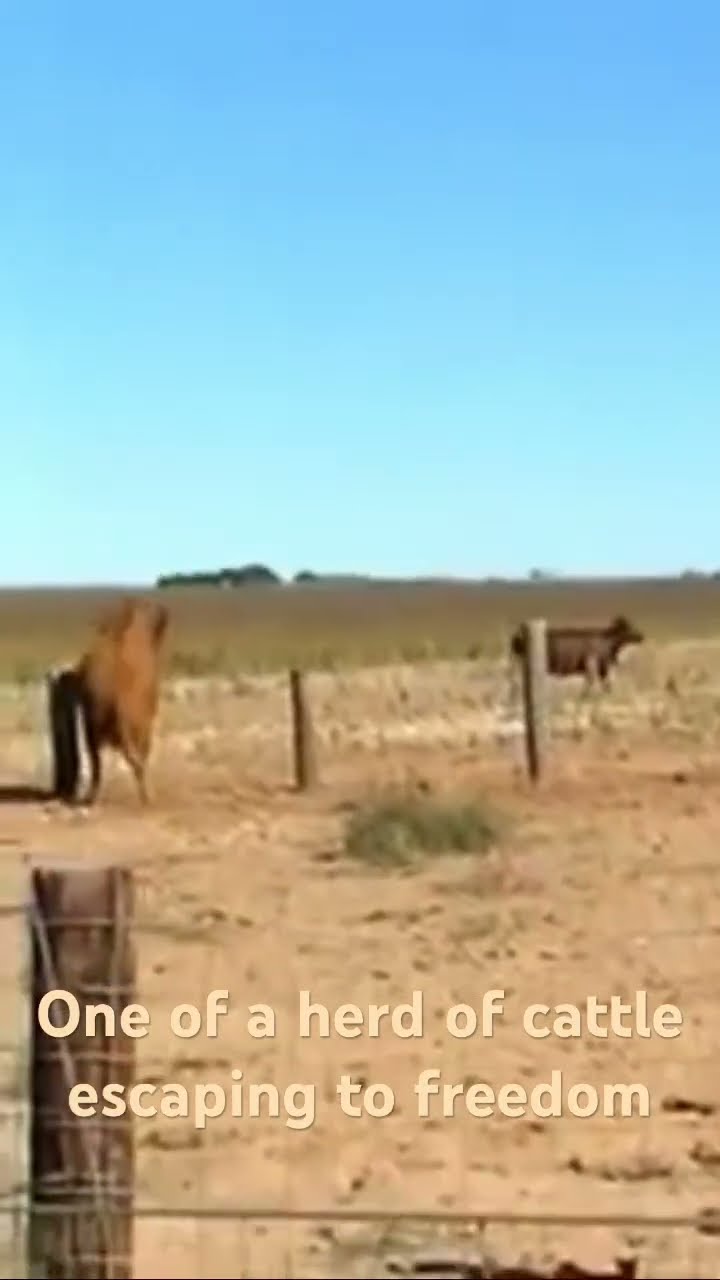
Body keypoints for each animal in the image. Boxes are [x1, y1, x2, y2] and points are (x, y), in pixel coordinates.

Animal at [47, 595, 169, 806]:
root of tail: (117, 700)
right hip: (137, 719)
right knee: (140, 754)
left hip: (92, 716)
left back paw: (94, 797)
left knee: (96, 760)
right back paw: (148, 797)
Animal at [509, 614, 644, 690]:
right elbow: (591, 685)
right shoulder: (592, 664)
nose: (641, 636)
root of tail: (517, 636)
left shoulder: (601, 668)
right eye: (628, 628)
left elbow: (605, 685)